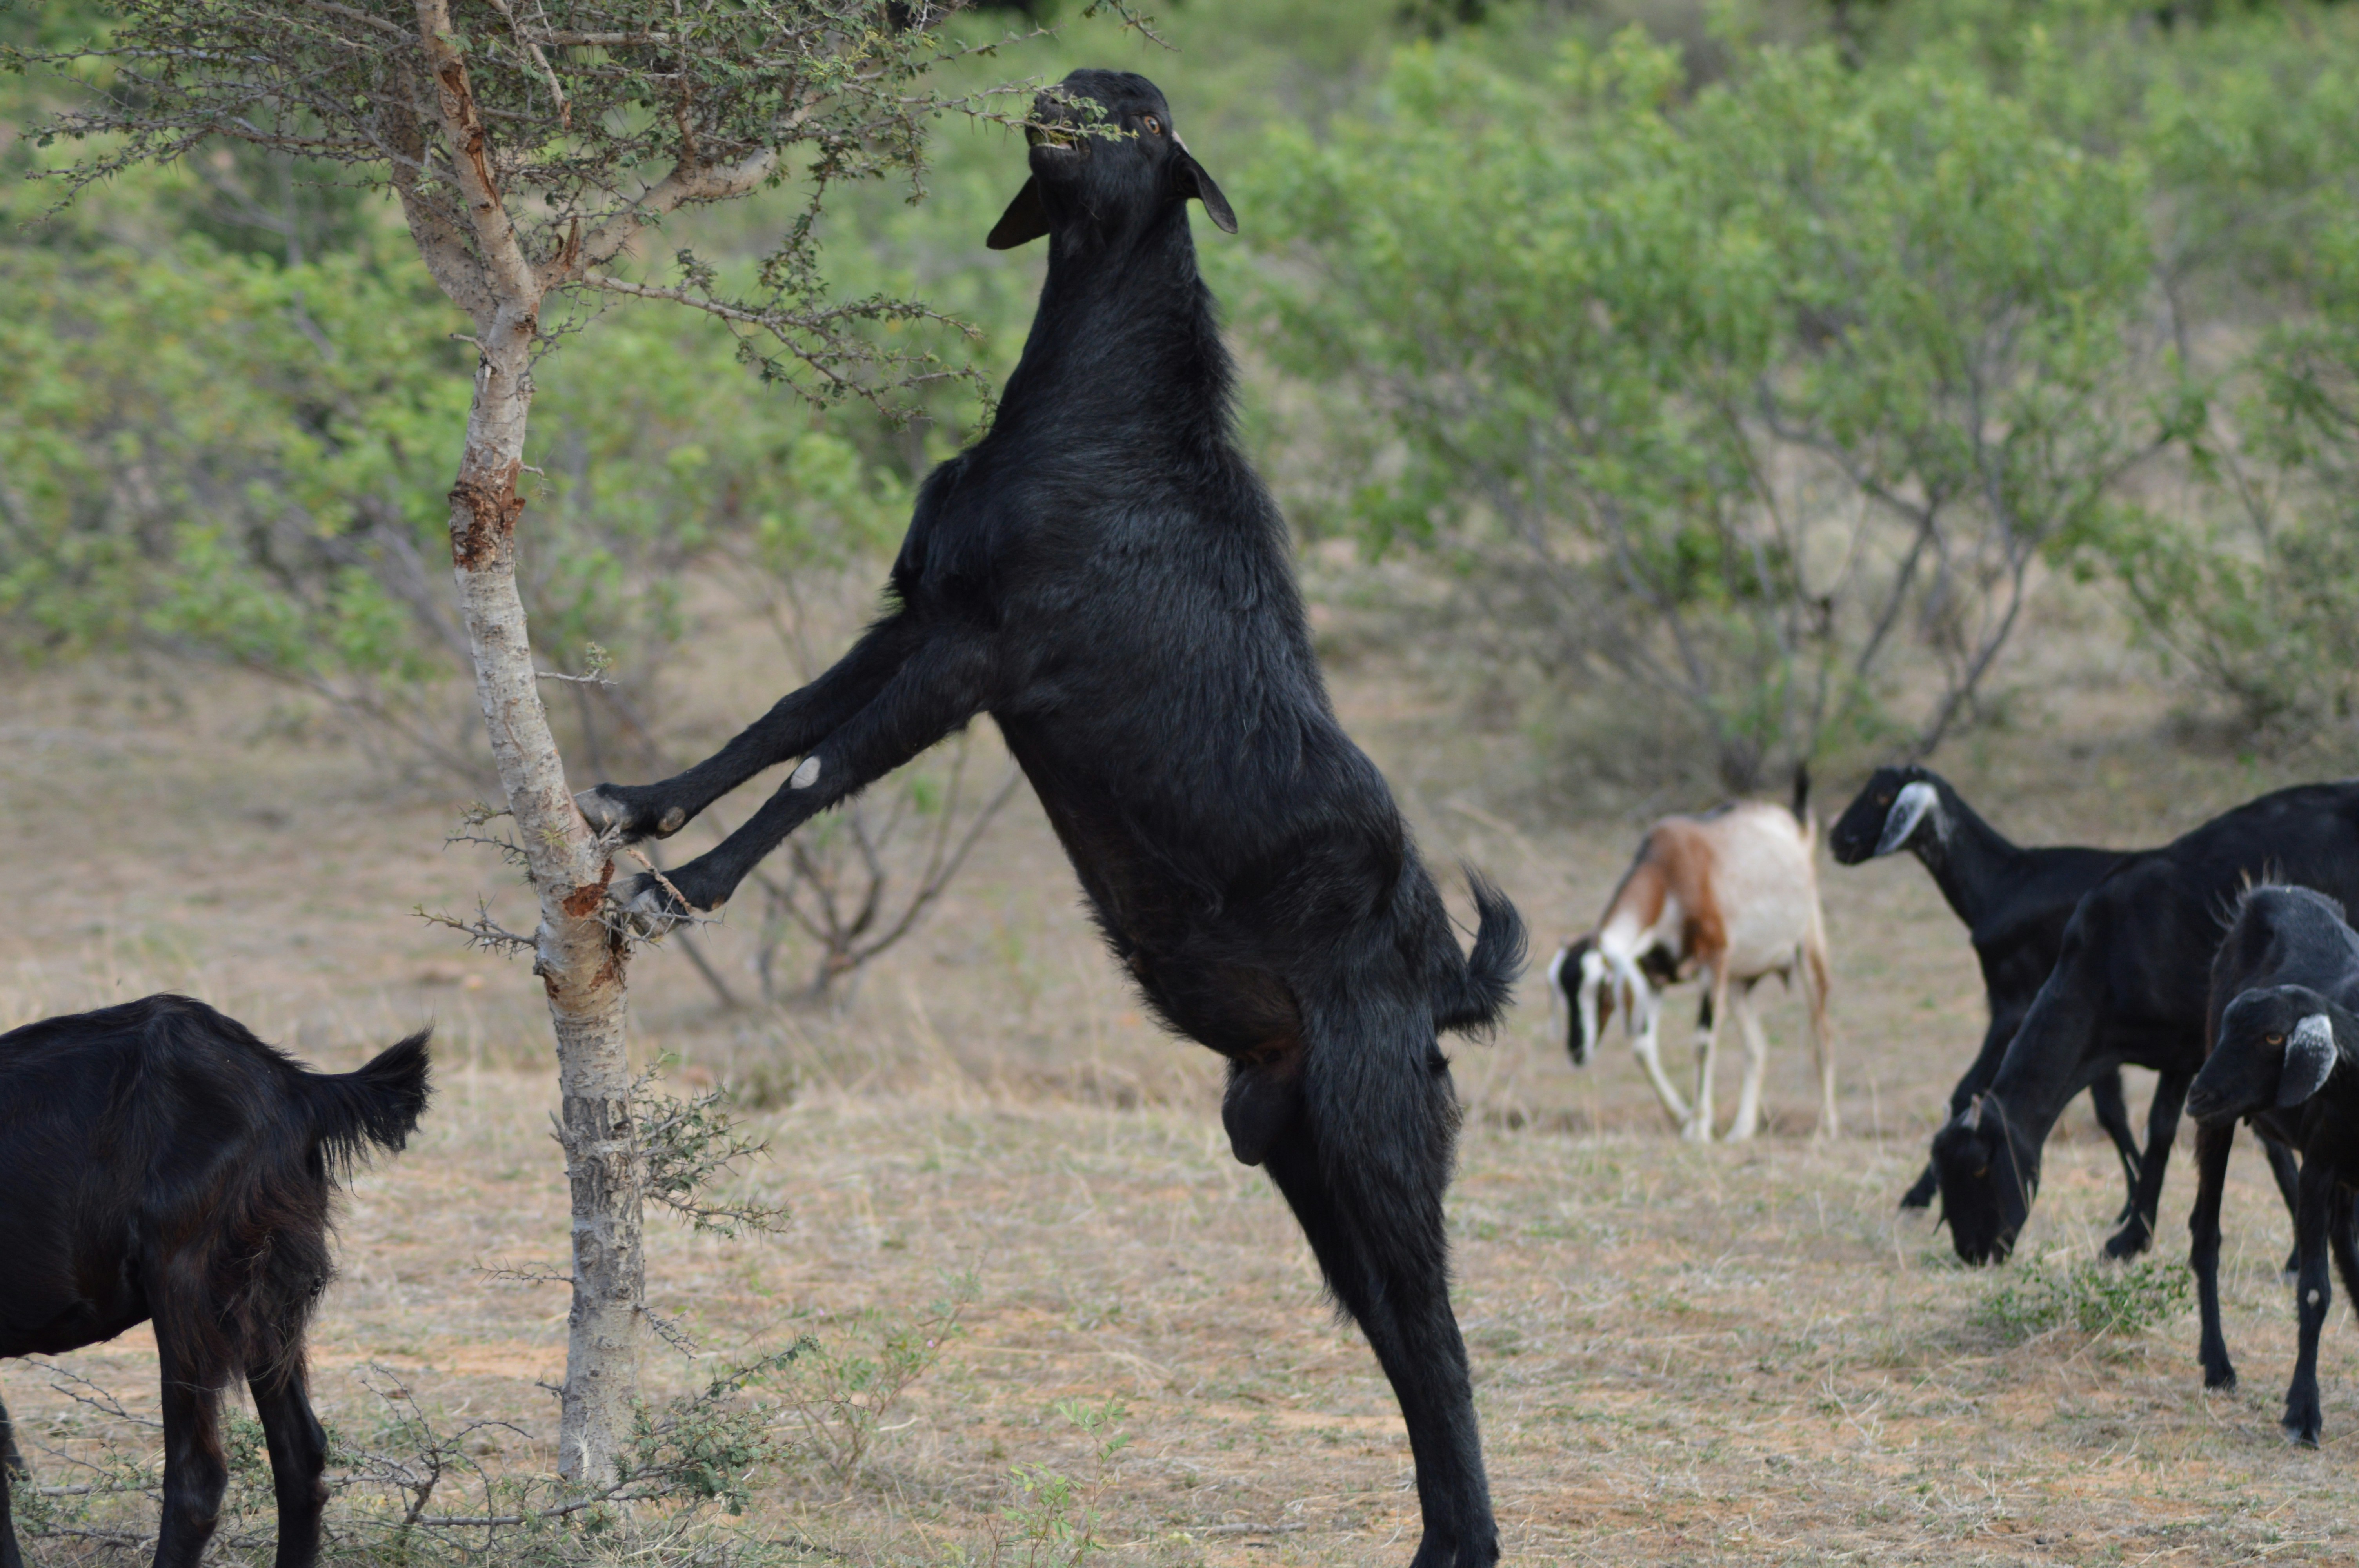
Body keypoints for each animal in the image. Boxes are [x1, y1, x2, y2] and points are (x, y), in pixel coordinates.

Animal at [574, 70, 1524, 1568]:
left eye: (1148, 125)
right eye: (1084, 95)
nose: (1055, 103)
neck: (1110, 424)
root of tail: (1443, 980)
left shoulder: (984, 654)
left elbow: (822, 768)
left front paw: (680, 893)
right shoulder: (923, 610)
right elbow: (782, 718)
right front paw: (635, 804)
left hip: (1378, 1133)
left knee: (1436, 1339)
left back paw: (1463, 1542)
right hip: (1296, 1146)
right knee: (1390, 1334)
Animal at [1548, 772, 1833, 1142]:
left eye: (1604, 990)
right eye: (1565, 991)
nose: (1577, 1051)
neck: (1669, 872)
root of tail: (1798, 828)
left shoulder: (1713, 963)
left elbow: (1702, 1040)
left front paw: (1698, 1126)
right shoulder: (1654, 977)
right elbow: (1643, 1047)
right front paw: (1685, 1117)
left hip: (1807, 954)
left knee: (1822, 1035)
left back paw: (1828, 1126)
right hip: (1739, 984)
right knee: (1757, 1047)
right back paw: (1741, 1129)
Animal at [1930, 782, 2359, 1265]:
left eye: (1980, 1168)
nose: (1974, 1252)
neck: (2108, 957)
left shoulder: (2219, 1047)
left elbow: (2242, 1137)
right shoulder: (2180, 1052)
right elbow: (2161, 1128)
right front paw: (2133, 1236)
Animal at [2186, 884, 2359, 1446]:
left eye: (2272, 1037)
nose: (2196, 1093)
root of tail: (2266, 890)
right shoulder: (2318, 1168)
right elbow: (2314, 1291)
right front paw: (2303, 1412)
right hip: (2219, 1123)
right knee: (2205, 1234)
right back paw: (2218, 1365)